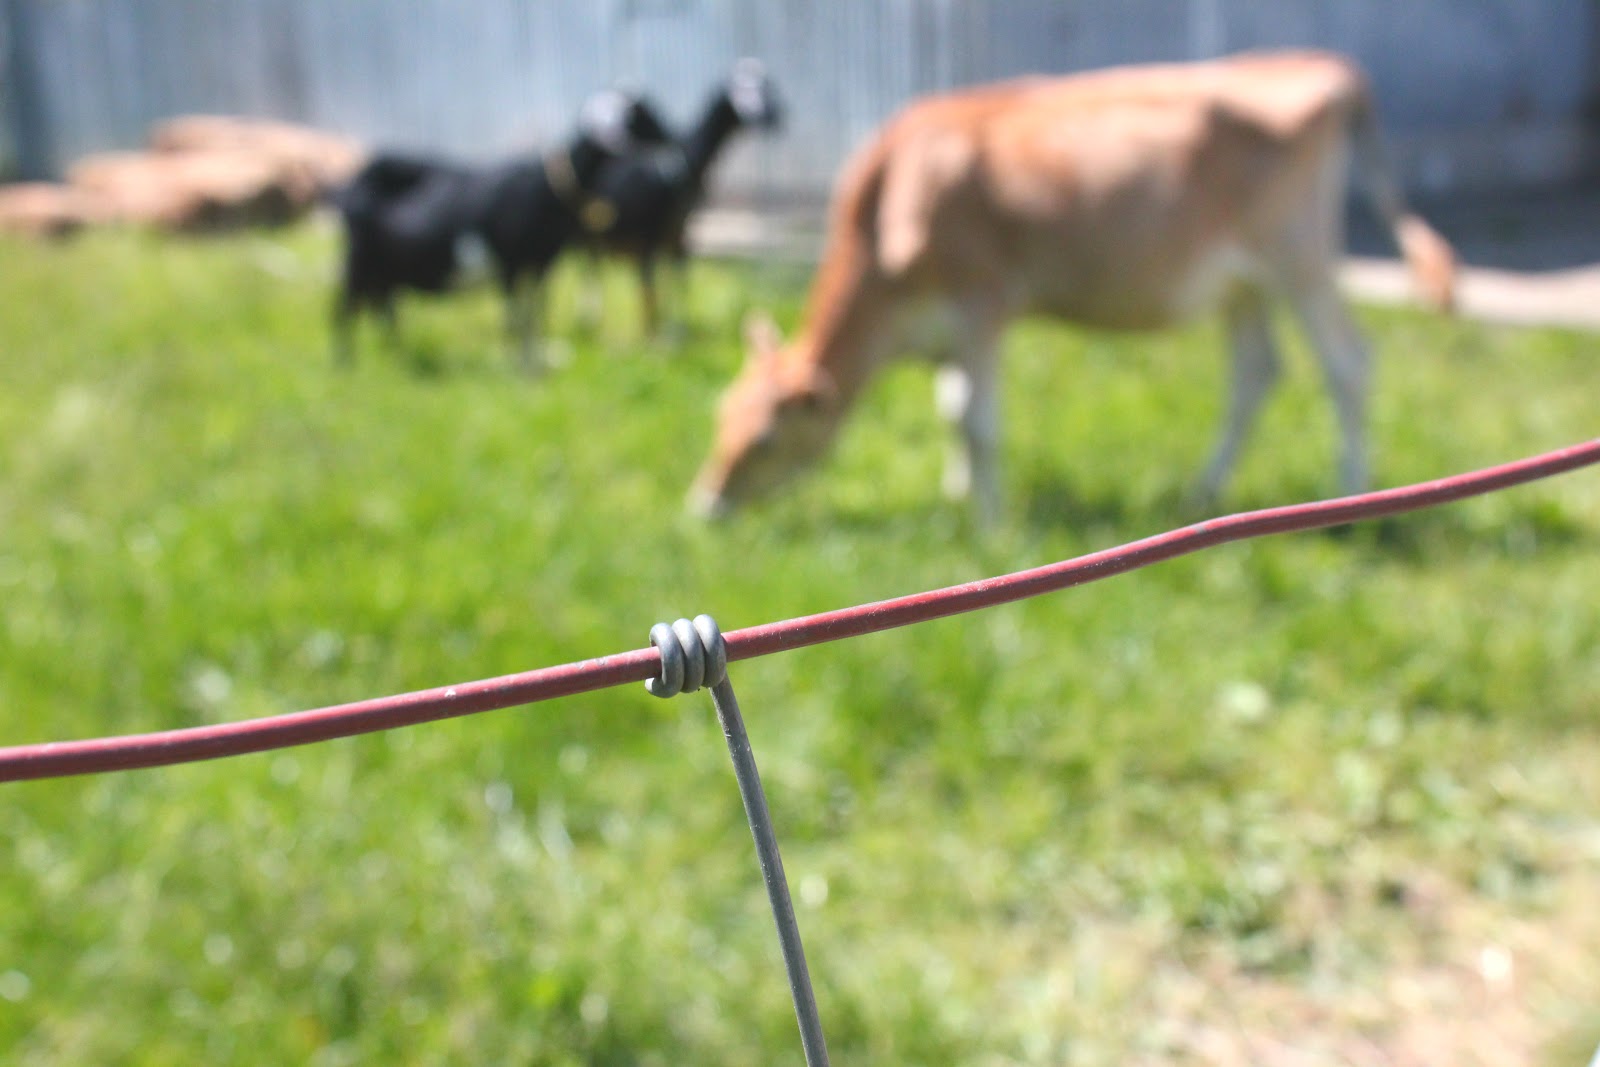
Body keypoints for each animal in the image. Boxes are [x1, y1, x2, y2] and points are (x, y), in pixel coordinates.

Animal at [331, 91, 672, 368]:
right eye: (642, 113)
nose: (672, 139)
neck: (543, 187)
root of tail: (358, 182)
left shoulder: (541, 263)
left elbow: (534, 314)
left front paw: (537, 359)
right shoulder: (509, 262)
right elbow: (514, 317)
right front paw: (520, 367)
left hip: (382, 268)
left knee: (382, 308)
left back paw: (396, 353)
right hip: (358, 260)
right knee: (345, 307)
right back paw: (346, 362)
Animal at [579, 59, 783, 335]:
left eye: (767, 85)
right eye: (742, 89)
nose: (775, 116)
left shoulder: (679, 233)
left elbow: (678, 278)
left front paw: (677, 328)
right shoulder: (650, 235)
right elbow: (651, 286)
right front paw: (656, 335)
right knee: (594, 270)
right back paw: (593, 319)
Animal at [688, 51, 1457, 522]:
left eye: (764, 441)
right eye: (720, 417)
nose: (706, 506)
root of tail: (1319, 65)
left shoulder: (983, 305)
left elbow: (975, 417)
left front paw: (989, 524)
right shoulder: (947, 331)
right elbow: (949, 412)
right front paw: (957, 492)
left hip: (1299, 258)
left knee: (1347, 363)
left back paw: (1348, 498)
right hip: (1243, 284)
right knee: (1256, 373)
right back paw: (1205, 491)